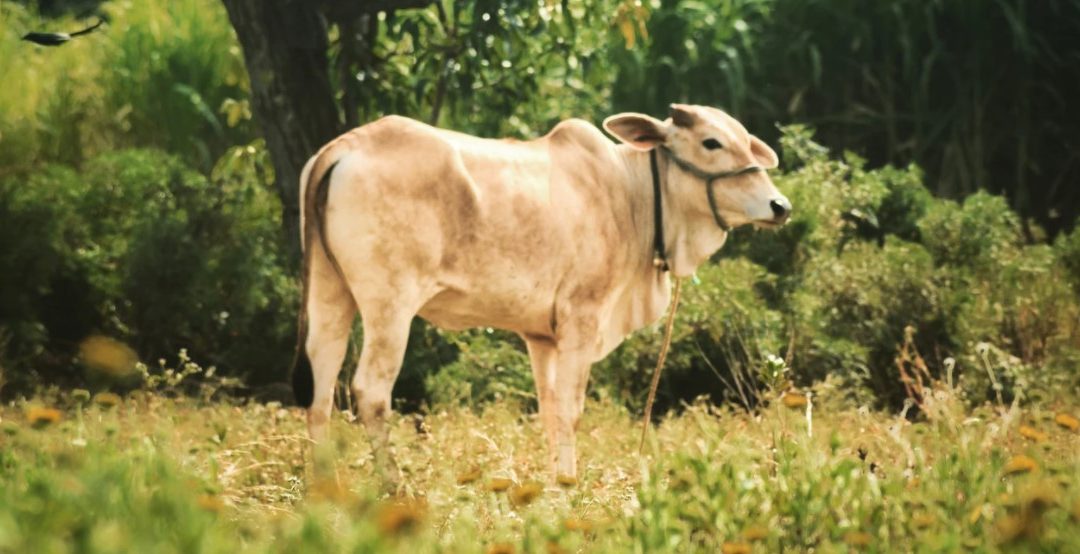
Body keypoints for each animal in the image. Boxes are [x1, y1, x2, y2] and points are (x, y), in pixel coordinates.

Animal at [291, 104, 790, 485]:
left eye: (747, 141)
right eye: (711, 142)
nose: (779, 206)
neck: (630, 195)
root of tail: (344, 147)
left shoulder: (541, 337)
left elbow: (550, 411)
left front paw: (554, 486)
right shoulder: (580, 319)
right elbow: (571, 411)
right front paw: (569, 484)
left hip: (330, 293)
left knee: (320, 391)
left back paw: (327, 487)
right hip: (390, 307)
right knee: (370, 392)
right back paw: (394, 487)